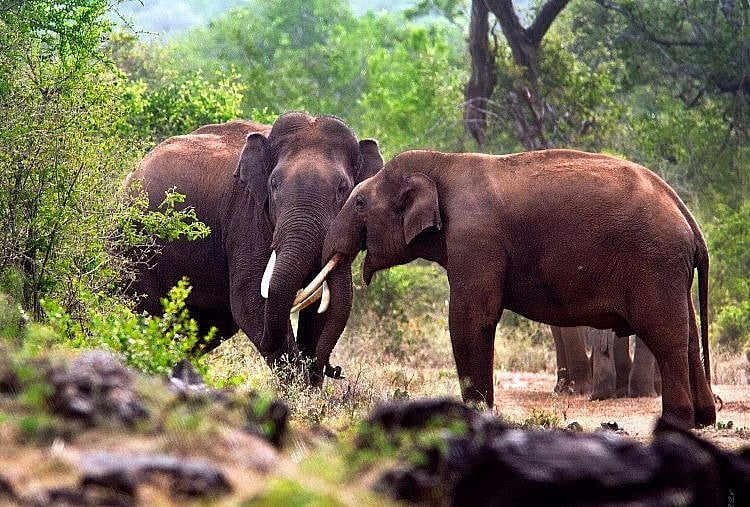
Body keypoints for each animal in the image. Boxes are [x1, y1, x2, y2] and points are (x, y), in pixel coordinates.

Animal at [125, 112, 383, 384]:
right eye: (274, 185)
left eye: (343, 188)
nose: (337, 370)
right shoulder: (247, 214)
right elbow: (250, 302)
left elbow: (322, 309)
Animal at [309, 148, 715, 428]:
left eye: (359, 203)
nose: (334, 371)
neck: (442, 163)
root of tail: (689, 220)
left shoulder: (476, 241)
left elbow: (471, 320)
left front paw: (475, 418)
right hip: (670, 270)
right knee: (689, 333)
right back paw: (704, 419)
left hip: (655, 262)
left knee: (666, 336)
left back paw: (677, 422)